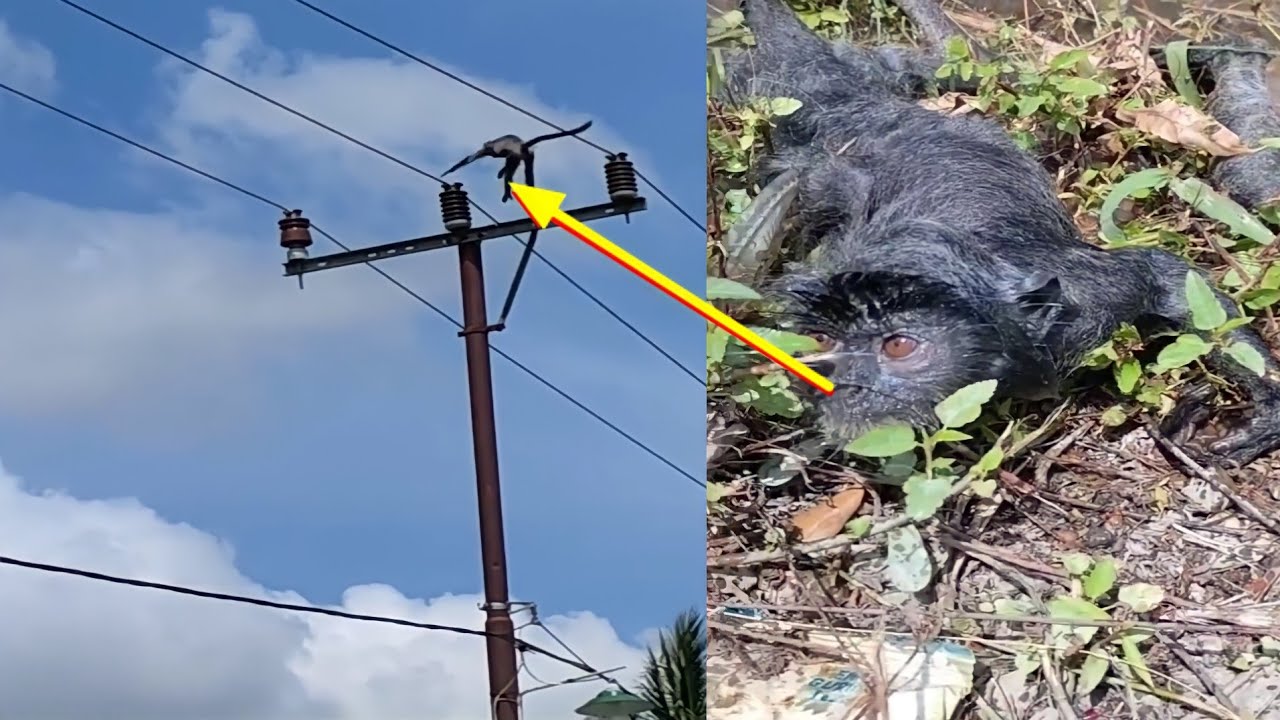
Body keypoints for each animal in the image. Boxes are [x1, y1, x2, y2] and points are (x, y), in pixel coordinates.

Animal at [442, 120, 594, 202]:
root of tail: (522, 145)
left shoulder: (490, 150)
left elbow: (470, 158)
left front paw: (450, 170)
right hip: (527, 156)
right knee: (528, 174)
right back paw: (529, 188)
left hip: (514, 154)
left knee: (509, 172)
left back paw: (506, 192)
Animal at [721, 0, 1280, 467]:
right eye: (818, 341)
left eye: (898, 347)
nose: (840, 383)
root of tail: (851, 108)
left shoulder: (1088, 301)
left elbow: (1158, 272)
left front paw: (1267, 409)